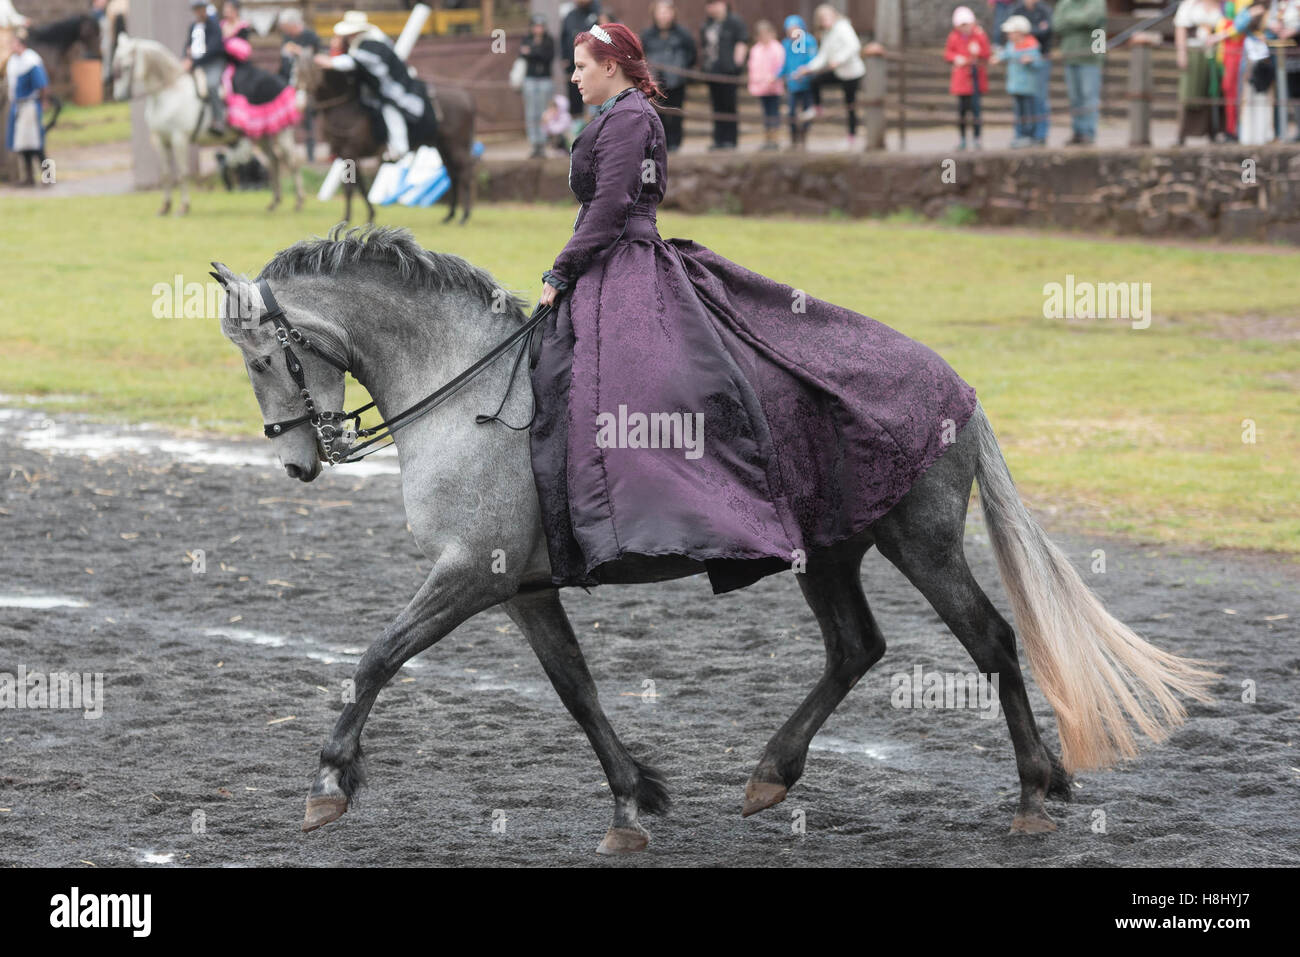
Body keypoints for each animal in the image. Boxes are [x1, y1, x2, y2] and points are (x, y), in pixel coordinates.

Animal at [111, 34, 303, 217]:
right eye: (115, 64)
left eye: (126, 66)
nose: (118, 96)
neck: (169, 93)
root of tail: (283, 82)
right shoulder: (160, 140)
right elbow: (166, 174)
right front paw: (165, 207)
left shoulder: (179, 138)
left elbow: (182, 173)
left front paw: (183, 207)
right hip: (263, 135)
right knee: (274, 161)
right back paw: (274, 202)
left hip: (282, 133)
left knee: (292, 162)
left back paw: (299, 201)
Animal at [211, 226, 1216, 855]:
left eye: (261, 358)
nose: (298, 462)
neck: (470, 388)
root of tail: (955, 387)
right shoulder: (520, 588)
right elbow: (575, 688)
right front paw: (632, 799)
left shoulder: (467, 576)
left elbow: (377, 656)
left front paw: (330, 782)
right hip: (833, 552)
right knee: (857, 646)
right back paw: (773, 773)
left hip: (922, 543)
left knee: (994, 641)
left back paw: (1034, 793)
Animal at [292, 51, 477, 225]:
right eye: (295, 72)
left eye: (309, 71)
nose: (299, 104)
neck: (346, 107)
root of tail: (466, 97)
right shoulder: (347, 155)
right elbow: (361, 186)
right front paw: (370, 215)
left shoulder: (350, 151)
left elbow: (350, 188)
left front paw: (347, 218)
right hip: (443, 147)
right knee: (453, 174)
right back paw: (450, 215)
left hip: (457, 145)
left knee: (465, 172)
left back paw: (464, 216)